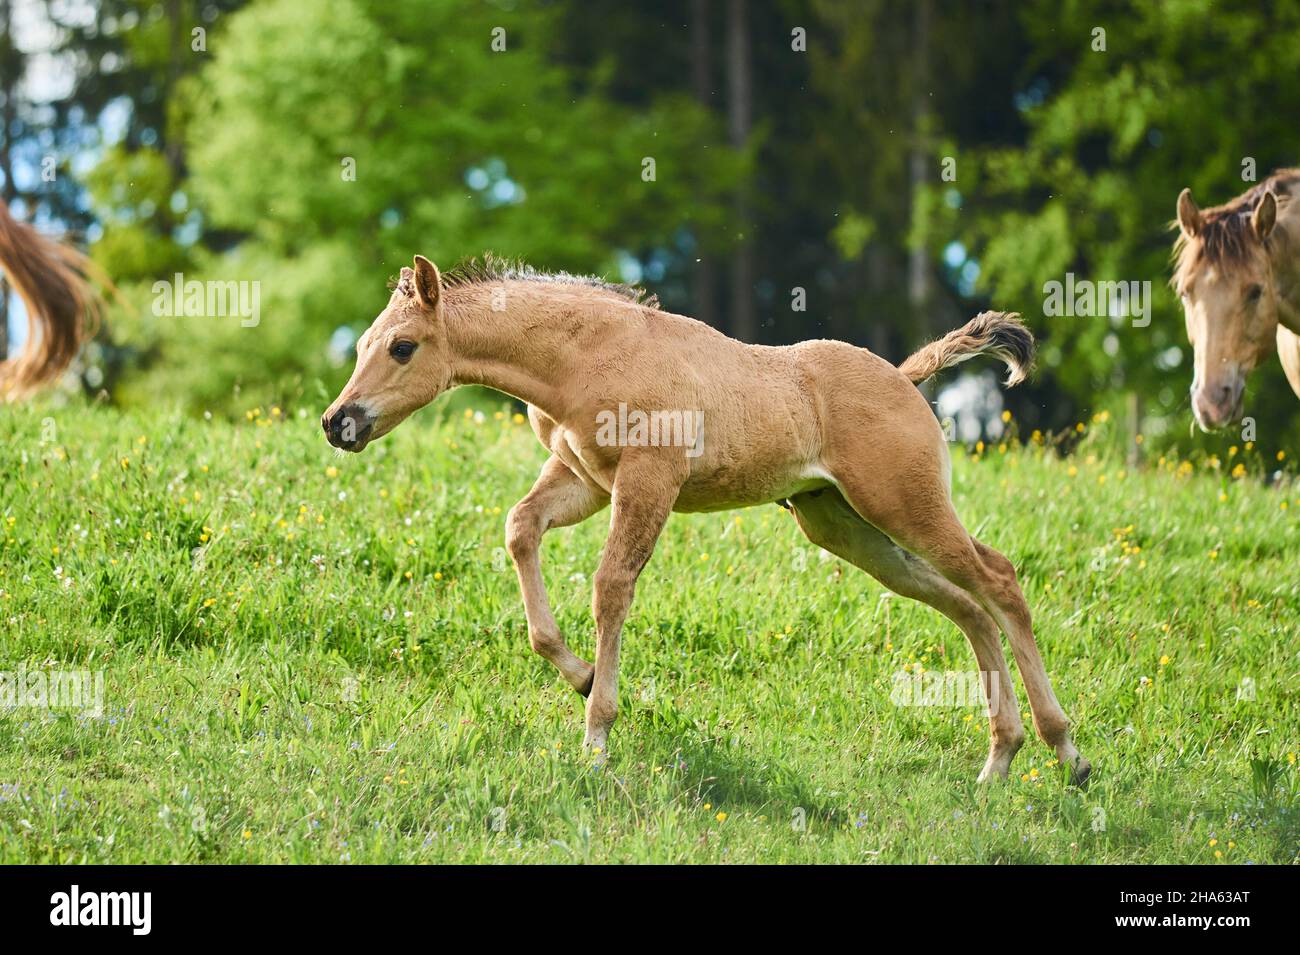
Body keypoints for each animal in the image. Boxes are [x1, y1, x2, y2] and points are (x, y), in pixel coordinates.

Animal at [323, 255, 1090, 785]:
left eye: (401, 347)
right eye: (360, 343)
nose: (338, 422)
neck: (580, 356)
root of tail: (907, 377)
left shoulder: (647, 481)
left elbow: (611, 587)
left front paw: (595, 737)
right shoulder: (583, 481)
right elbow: (520, 530)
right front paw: (578, 675)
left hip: (904, 504)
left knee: (998, 579)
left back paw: (1067, 752)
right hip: (845, 527)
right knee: (967, 605)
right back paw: (999, 760)